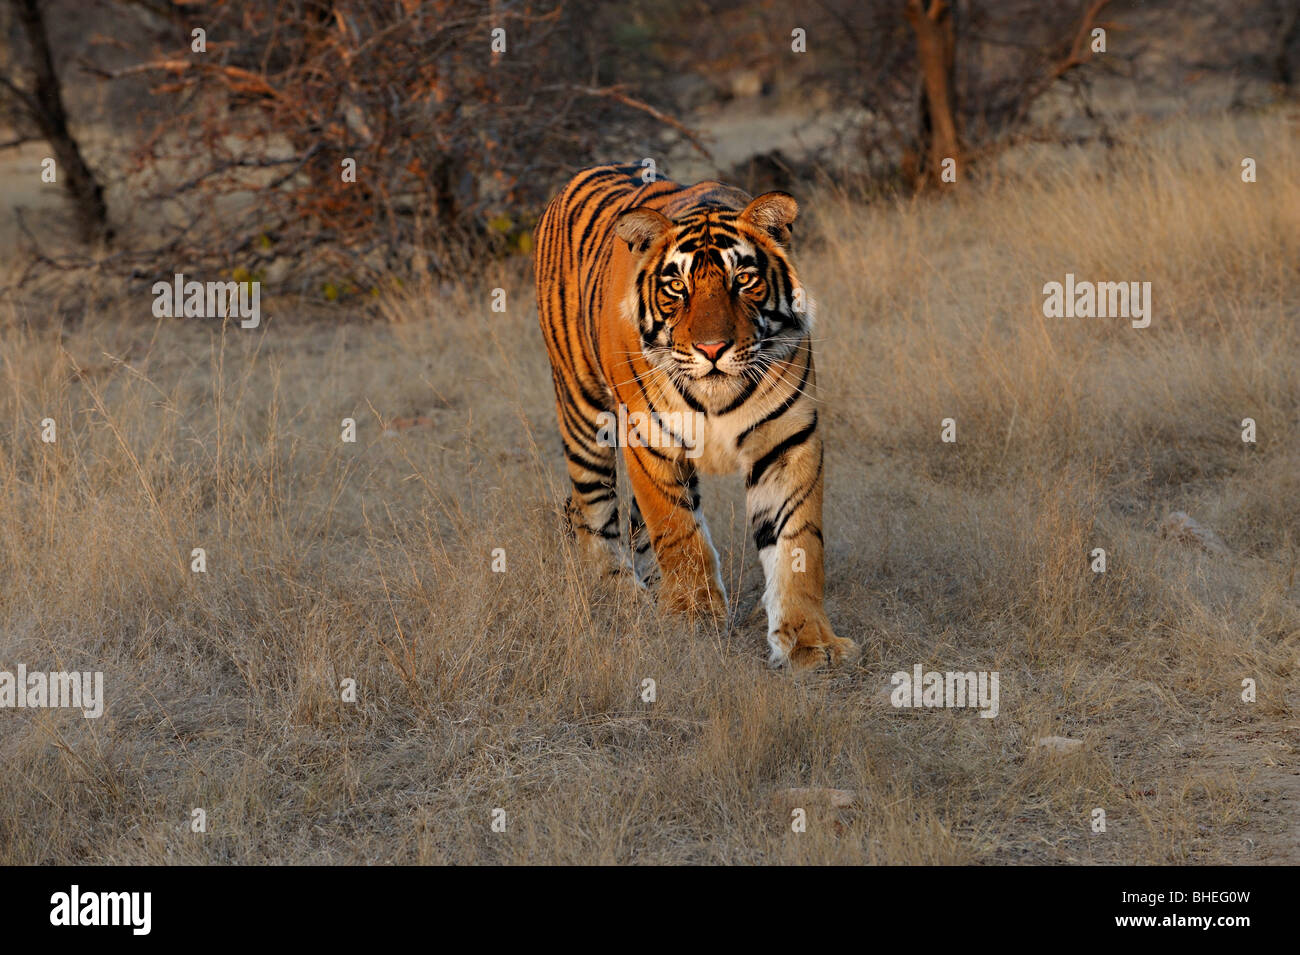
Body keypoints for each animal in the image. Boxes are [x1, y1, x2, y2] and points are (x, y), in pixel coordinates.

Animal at [533, 163, 858, 670]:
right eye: (676, 288)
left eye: (743, 279)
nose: (712, 348)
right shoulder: (650, 441)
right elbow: (680, 535)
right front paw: (694, 621)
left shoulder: (787, 443)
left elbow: (798, 546)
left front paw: (810, 643)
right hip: (583, 410)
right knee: (592, 513)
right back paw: (624, 597)